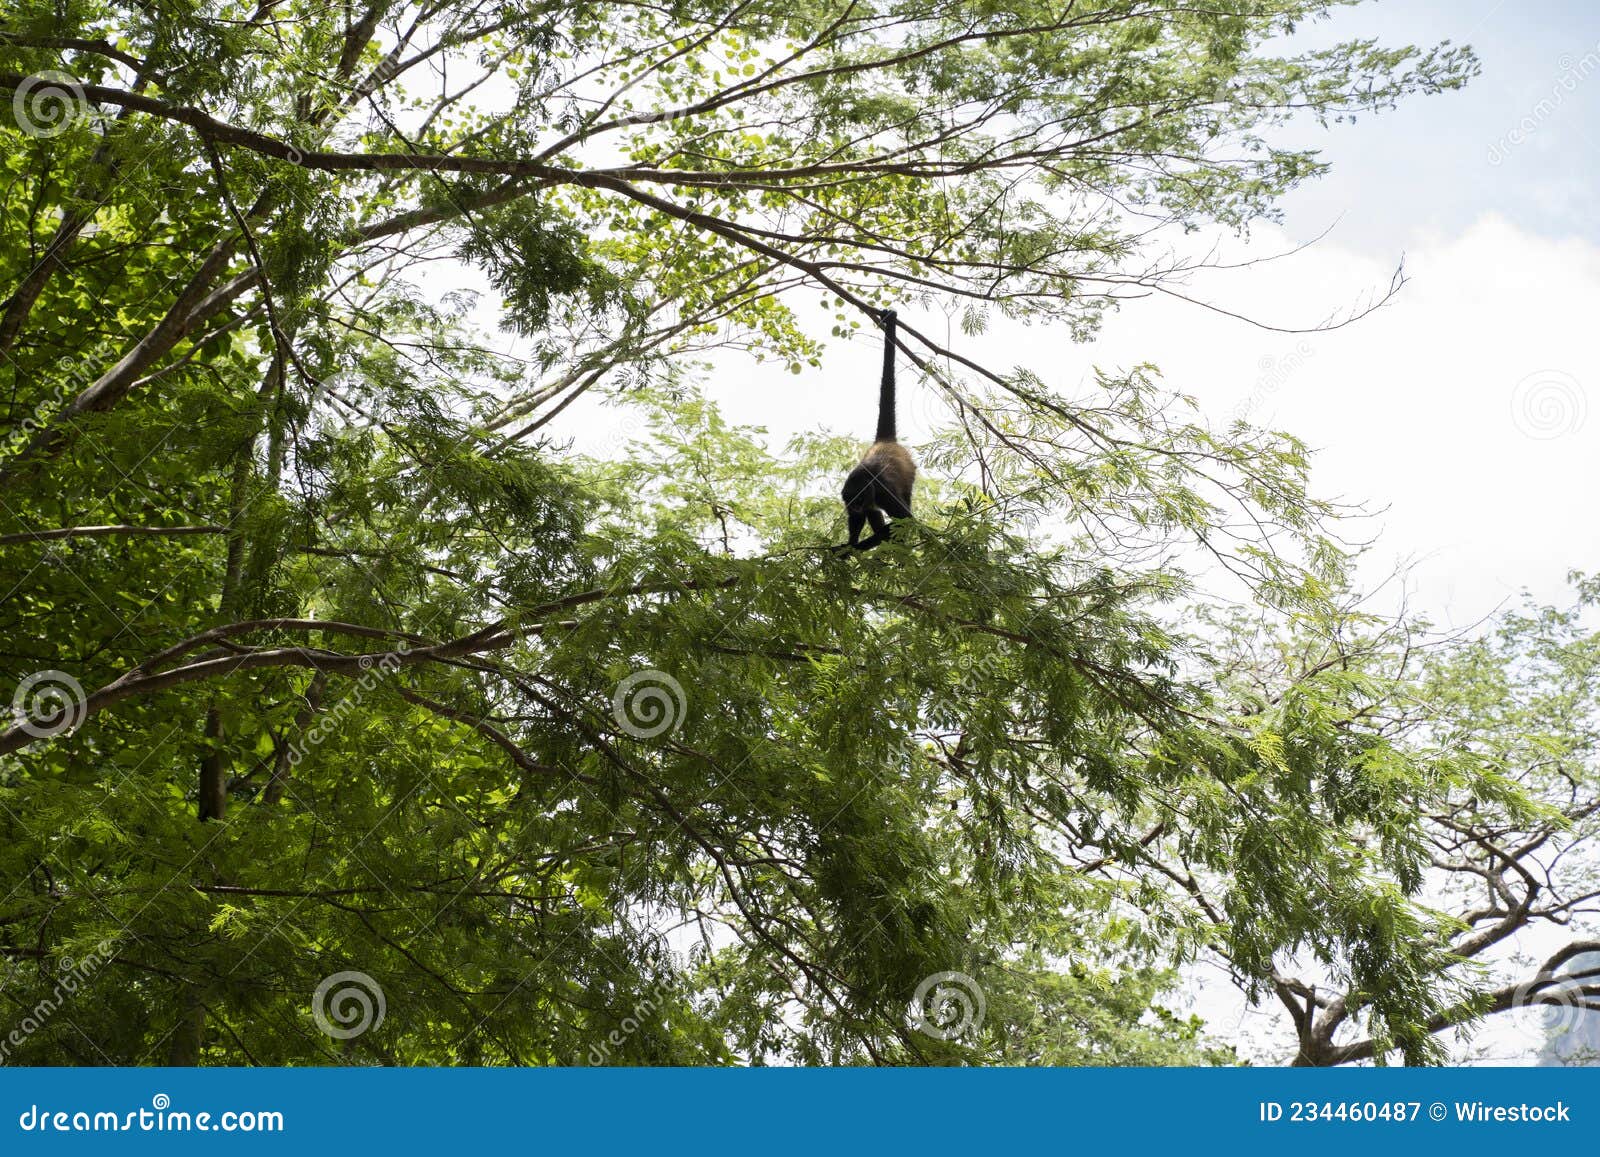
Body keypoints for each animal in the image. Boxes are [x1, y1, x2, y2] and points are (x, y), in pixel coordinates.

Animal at [838, 308, 915, 551]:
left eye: (859, 500)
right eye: (850, 503)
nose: (855, 508)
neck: (865, 480)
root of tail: (885, 440)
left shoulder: (883, 492)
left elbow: (907, 520)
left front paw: (858, 546)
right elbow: (859, 519)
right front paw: (850, 544)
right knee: (873, 513)